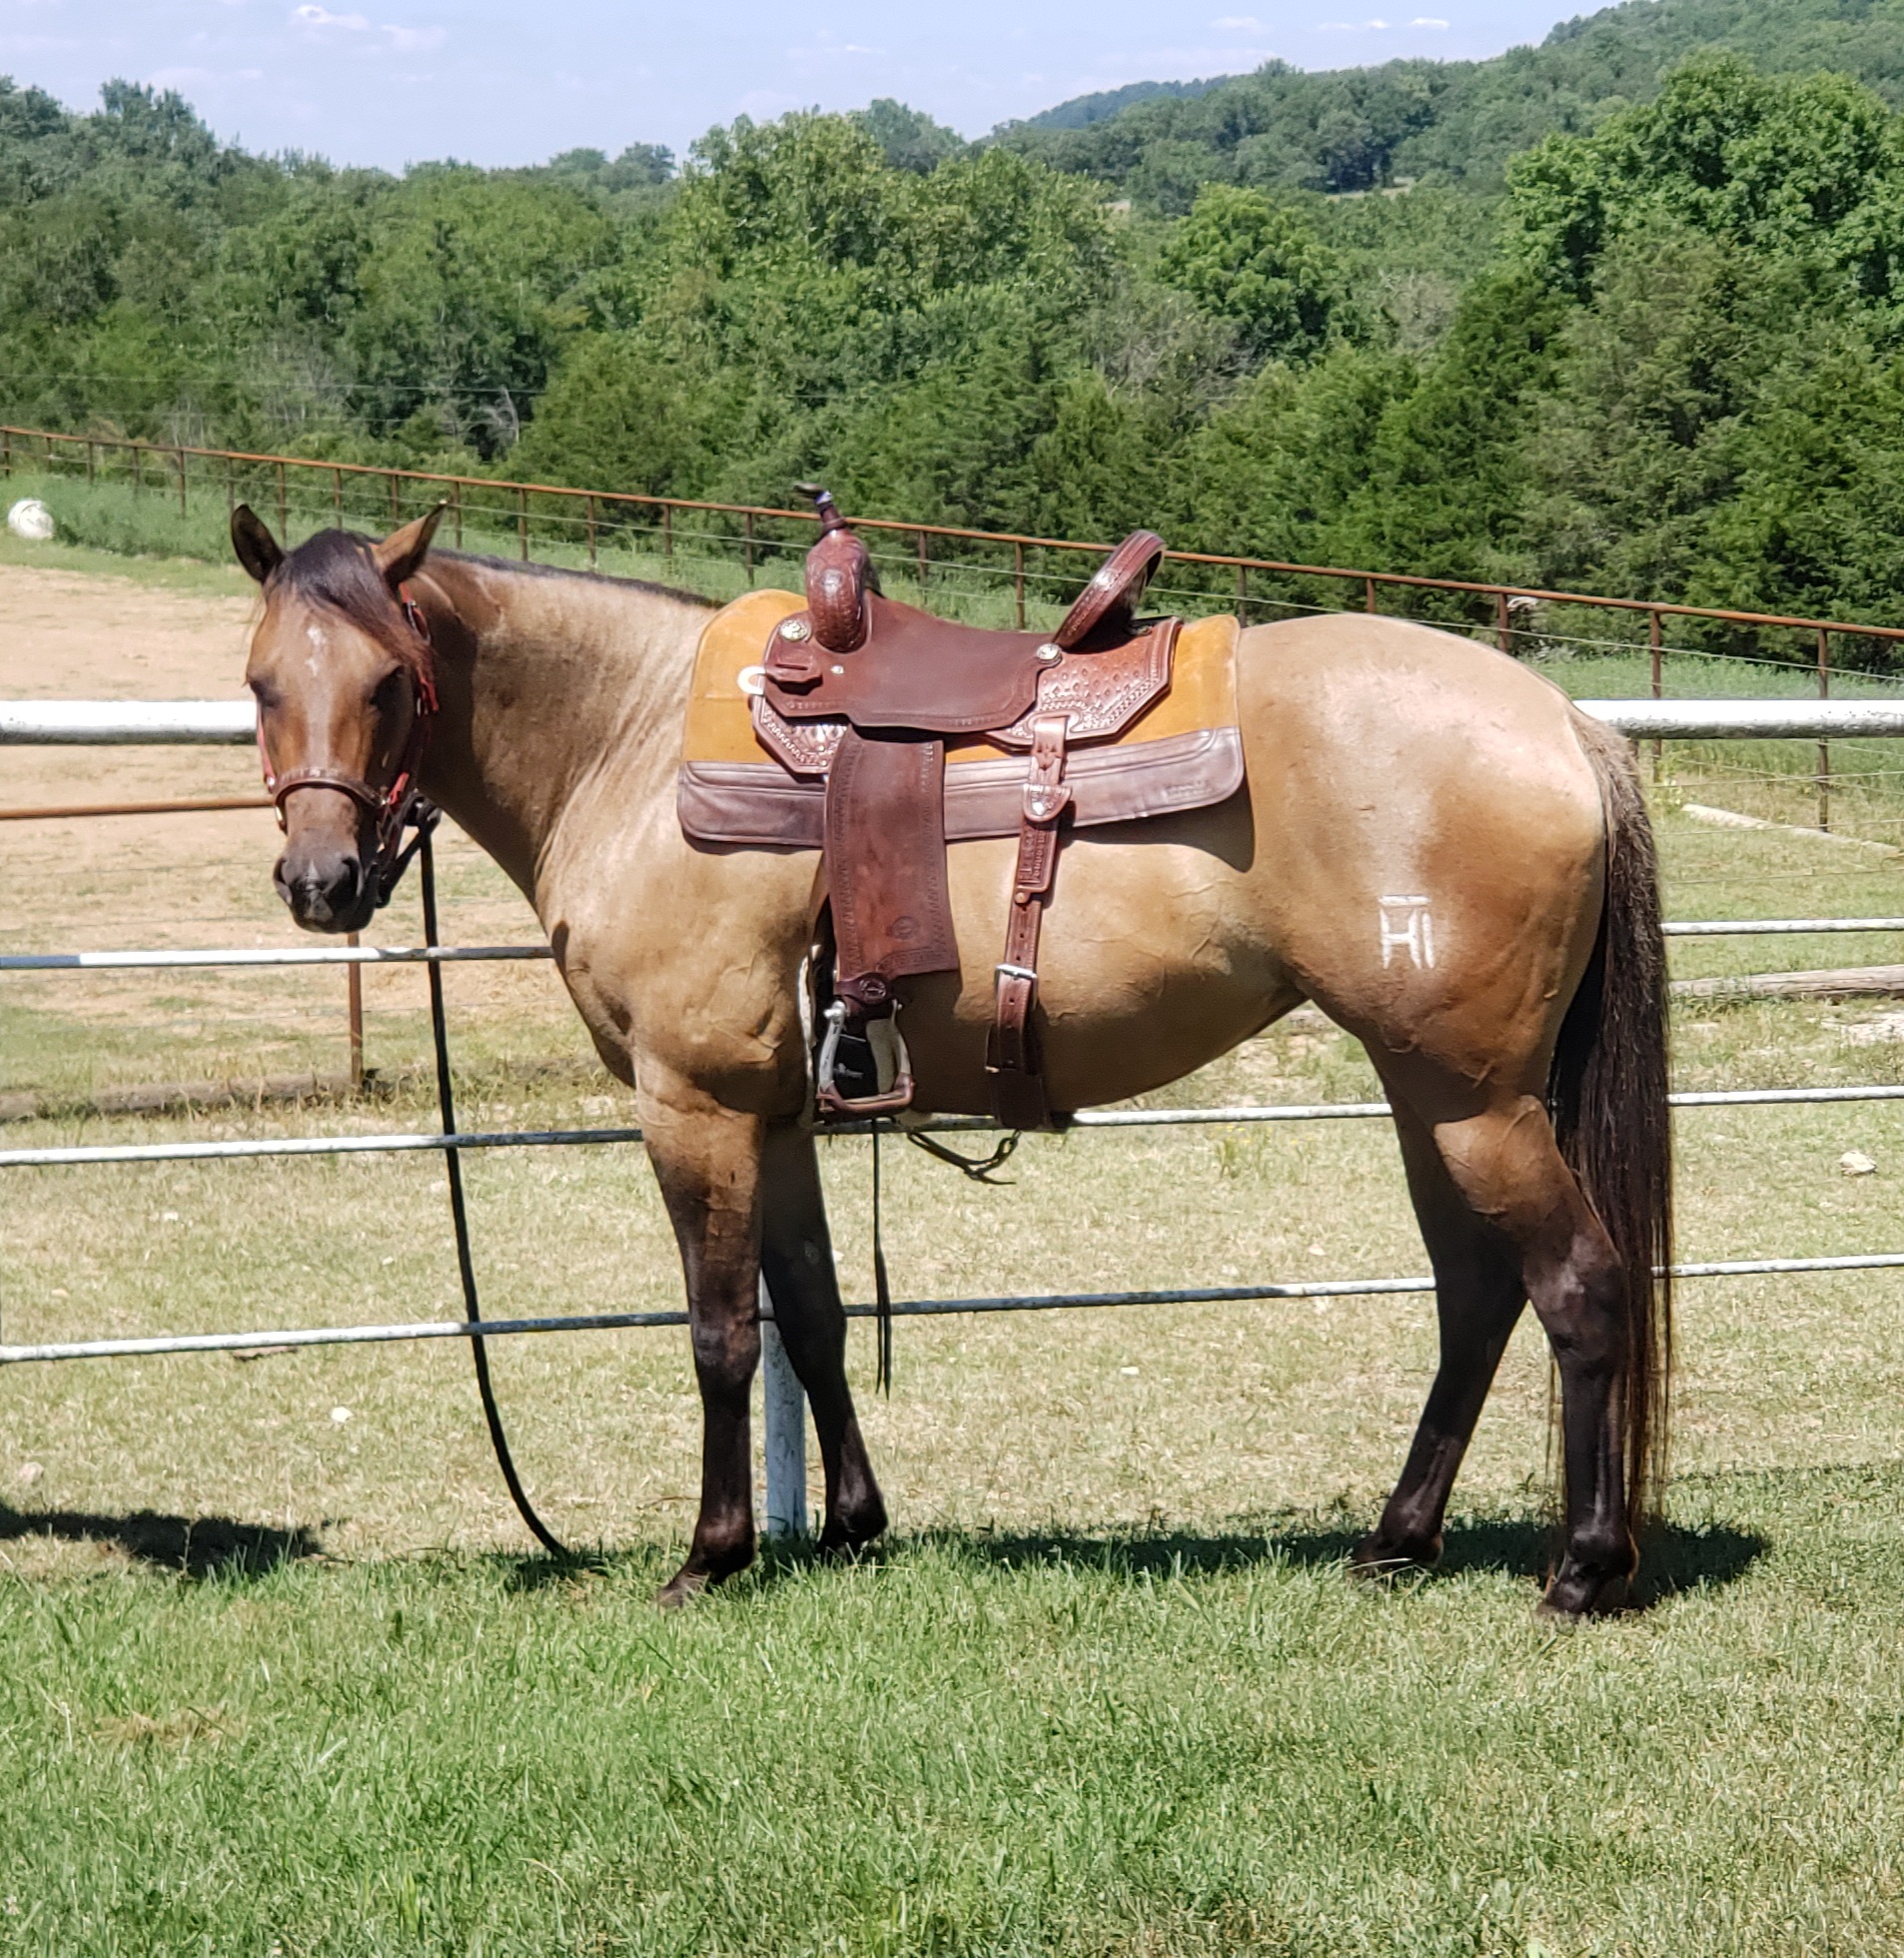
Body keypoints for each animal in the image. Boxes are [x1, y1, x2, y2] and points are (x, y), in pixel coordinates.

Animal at [231, 503, 1672, 1618]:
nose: (321, 881)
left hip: (1474, 1099)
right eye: (260, 682)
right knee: (1477, 1298)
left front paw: (712, 1555)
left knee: (1579, 1285)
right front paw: (851, 1526)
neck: (631, 746)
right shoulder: (776, 1112)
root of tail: (1564, 725)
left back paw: (1582, 1570)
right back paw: (1394, 1540)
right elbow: (809, 1315)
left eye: (386, 682)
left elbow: (718, 1332)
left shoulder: (694, 1103)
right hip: (1428, 1092)